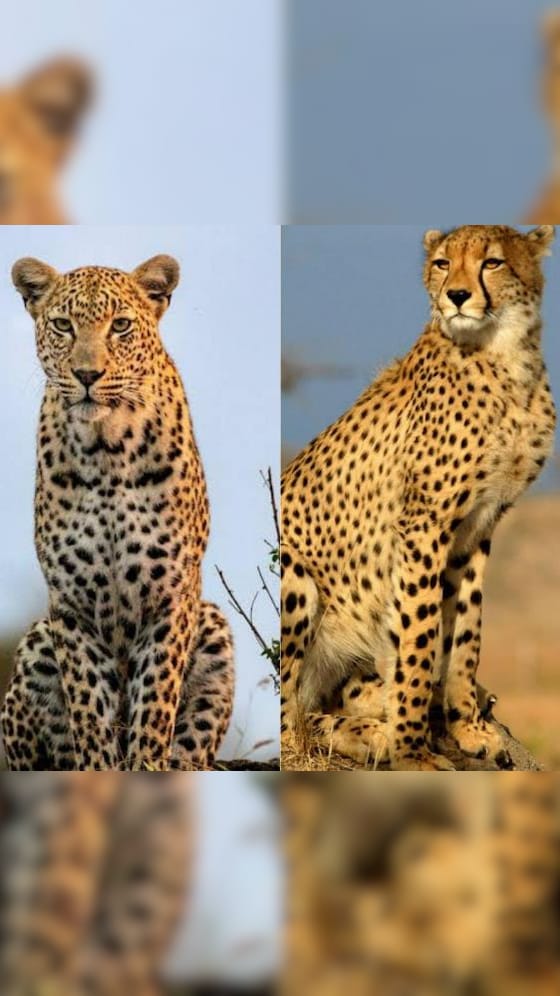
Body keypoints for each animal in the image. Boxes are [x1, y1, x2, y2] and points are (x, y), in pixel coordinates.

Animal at [0, 255, 234, 771]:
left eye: (121, 326)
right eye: (63, 326)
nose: (87, 374)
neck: (106, 448)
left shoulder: (171, 597)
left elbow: (154, 707)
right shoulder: (70, 605)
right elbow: (90, 711)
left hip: (213, 629)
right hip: (37, 643)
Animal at [281, 224, 556, 771]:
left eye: (493, 263)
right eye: (442, 263)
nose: (457, 296)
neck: (505, 357)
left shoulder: (477, 526)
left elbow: (465, 630)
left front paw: (467, 726)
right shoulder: (423, 524)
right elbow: (420, 635)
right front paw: (413, 750)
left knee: (318, 709)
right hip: (291, 574)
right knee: (288, 716)